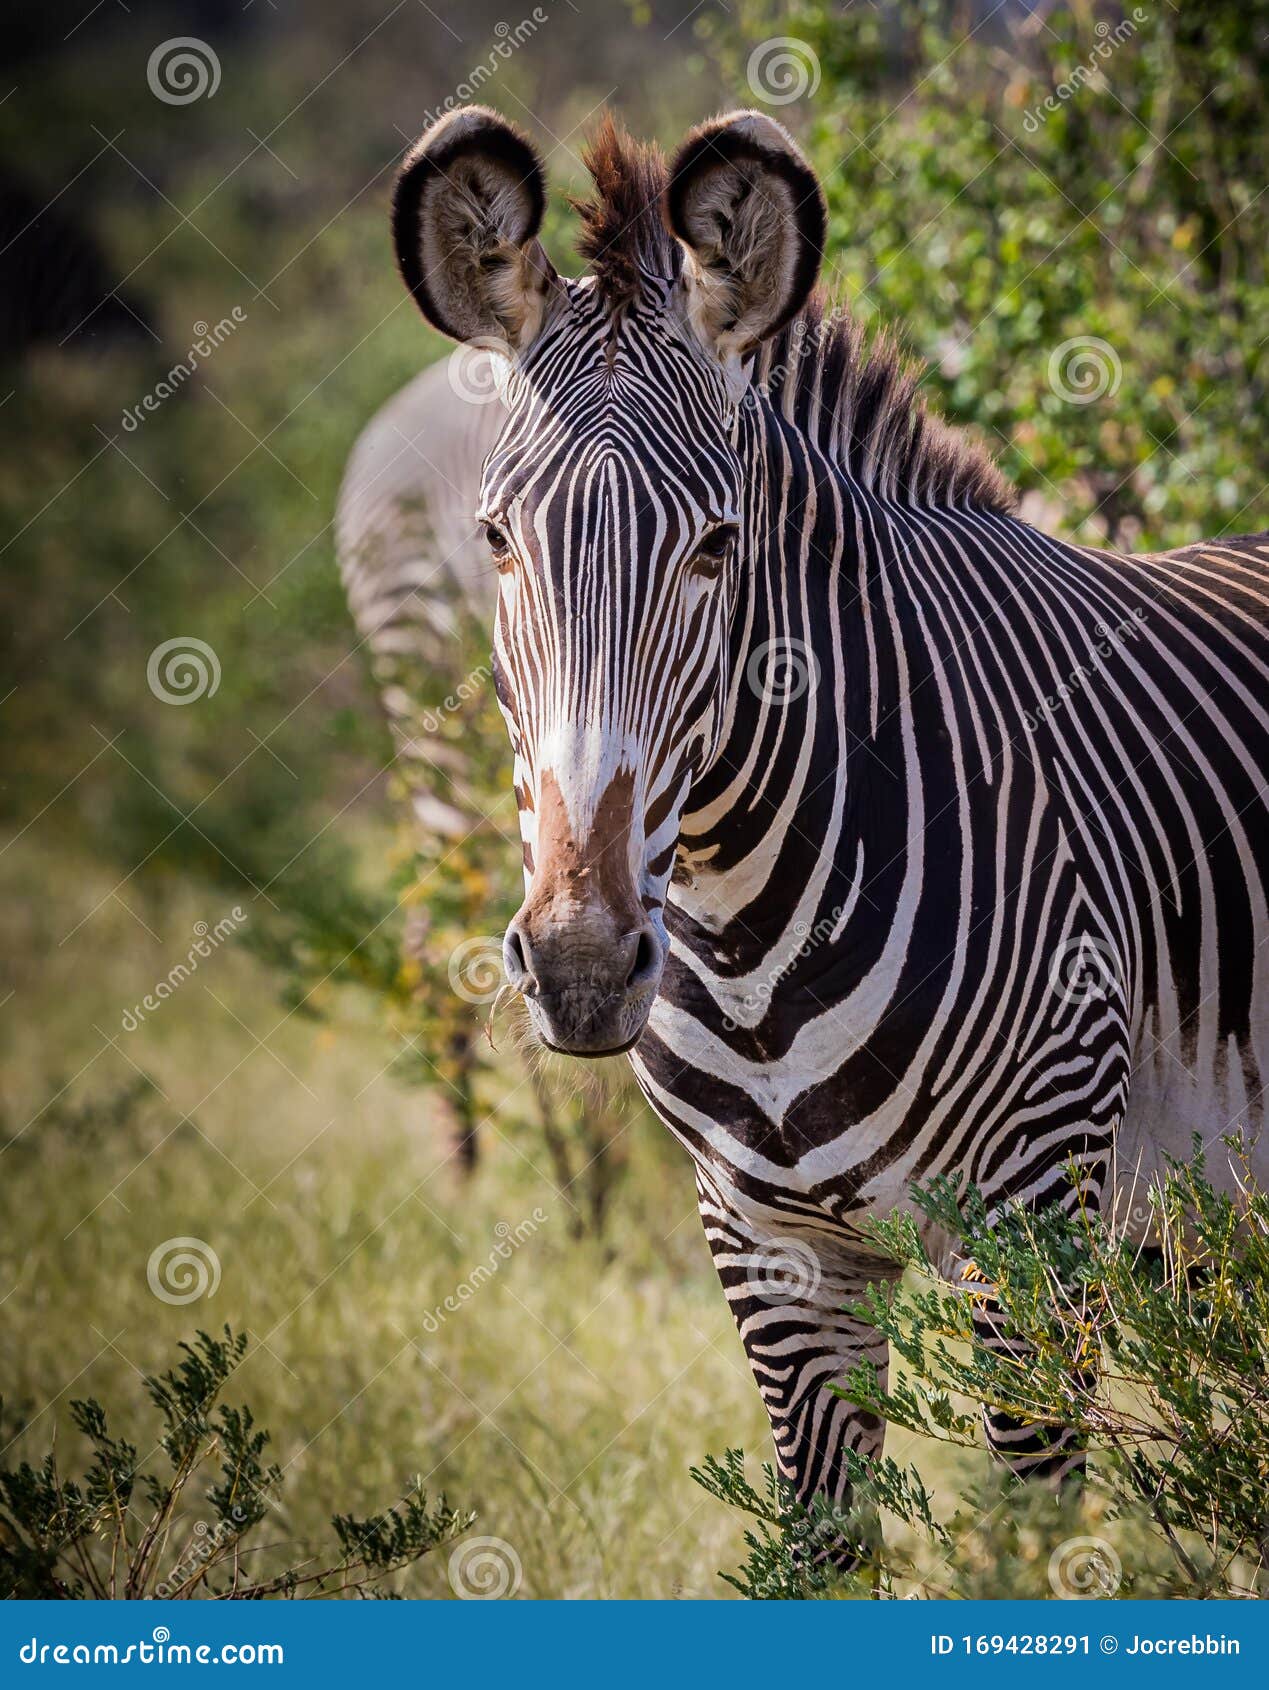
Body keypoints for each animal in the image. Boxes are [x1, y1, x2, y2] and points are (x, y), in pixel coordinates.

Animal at [373, 103, 1269, 1537]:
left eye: (717, 547)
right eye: (497, 540)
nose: (580, 965)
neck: (747, 939)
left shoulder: (1039, 1220)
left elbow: (1029, 1543)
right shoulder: (773, 1253)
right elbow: (824, 1534)